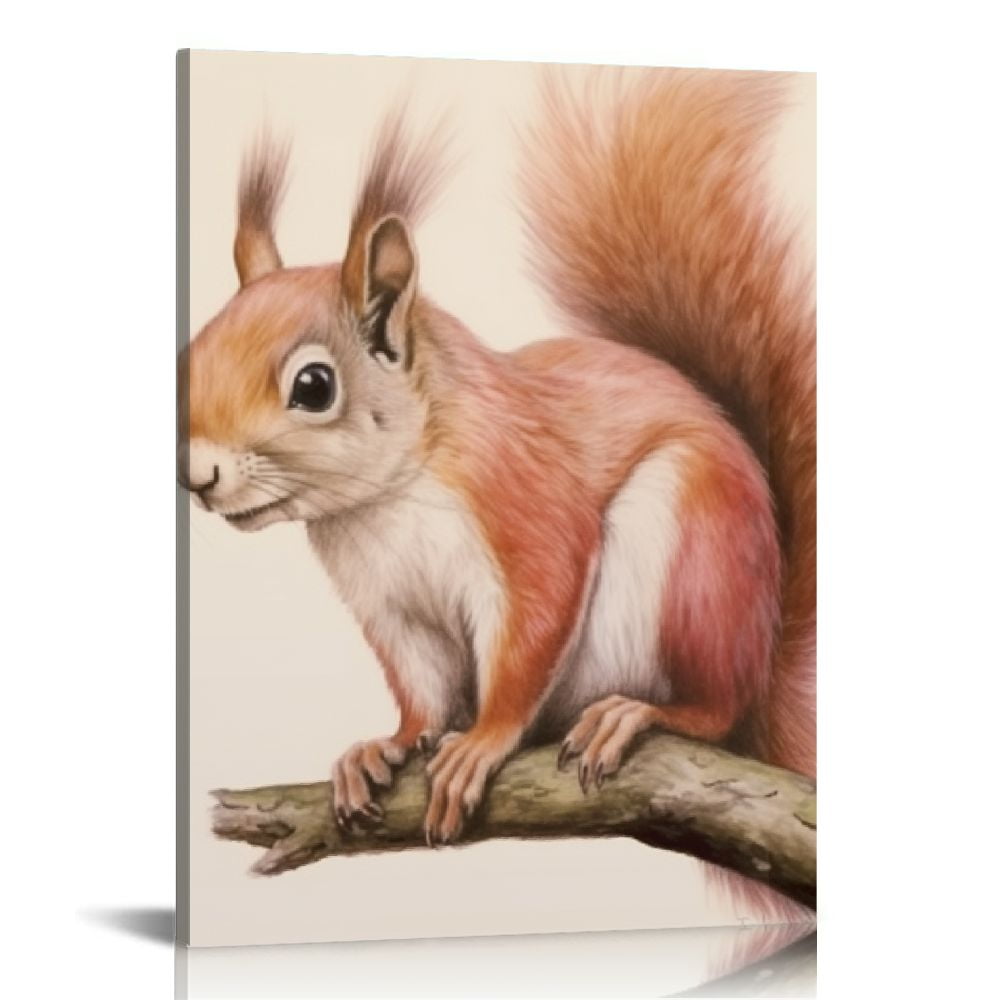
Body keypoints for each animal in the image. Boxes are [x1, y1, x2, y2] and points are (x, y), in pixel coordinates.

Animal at [179, 68, 815, 911]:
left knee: (714, 707)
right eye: (192, 352)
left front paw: (480, 741)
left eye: (313, 386)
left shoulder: (522, 506)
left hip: (699, 553)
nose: (196, 474)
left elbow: (532, 628)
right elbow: (418, 682)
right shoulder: (391, 602)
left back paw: (638, 714)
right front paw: (387, 745)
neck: (386, 499)